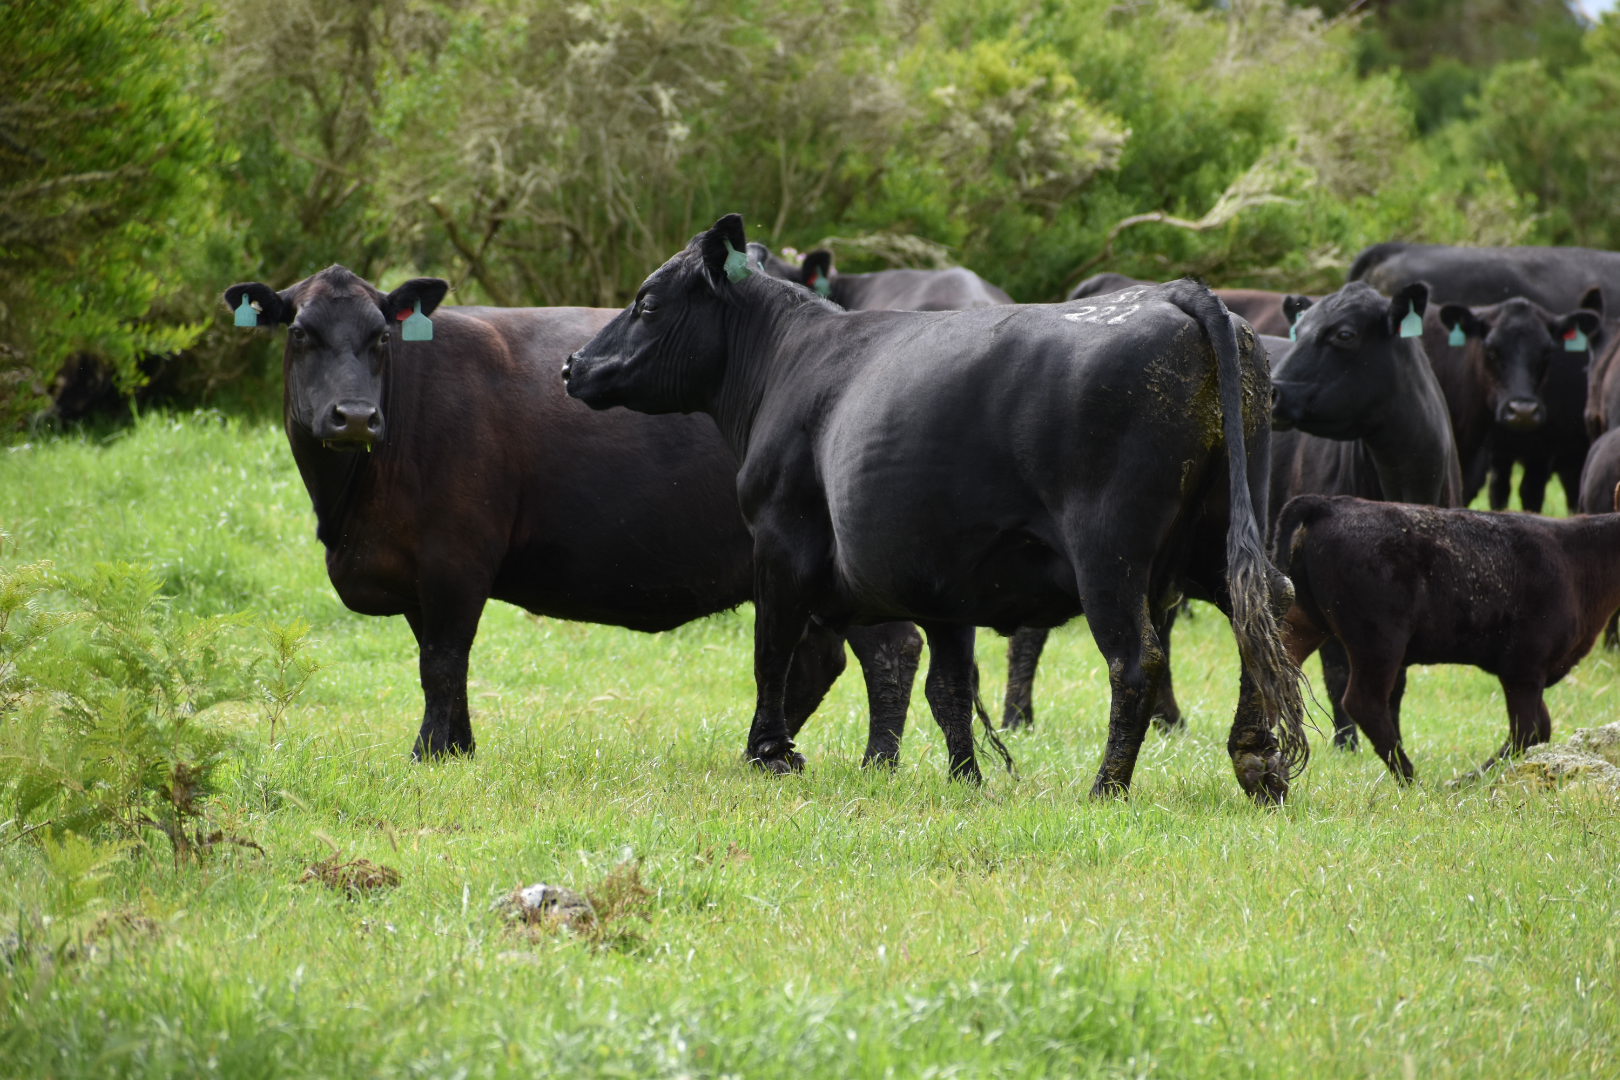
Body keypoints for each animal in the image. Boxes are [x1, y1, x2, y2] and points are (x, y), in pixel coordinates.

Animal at [222, 266, 921, 764]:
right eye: (300, 333)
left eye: (381, 336)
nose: (355, 417)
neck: (351, 506)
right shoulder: (422, 571)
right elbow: (444, 664)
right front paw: (459, 750)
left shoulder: (455, 558)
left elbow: (442, 662)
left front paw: (429, 755)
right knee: (820, 658)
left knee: (891, 648)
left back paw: (875, 762)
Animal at [1271, 283, 1464, 749]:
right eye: (1298, 329)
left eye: (1344, 335)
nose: (1272, 391)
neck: (1405, 479)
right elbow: (1339, 670)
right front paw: (1347, 745)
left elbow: (1394, 678)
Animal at [1274, 494, 1620, 781]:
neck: (1577, 559)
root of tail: (1332, 504)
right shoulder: (1524, 667)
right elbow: (1528, 729)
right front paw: (1470, 779)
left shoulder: (1530, 671)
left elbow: (1539, 728)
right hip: (1379, 640)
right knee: (1364, 701)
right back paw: (1410, 777)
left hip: (1307, 621)